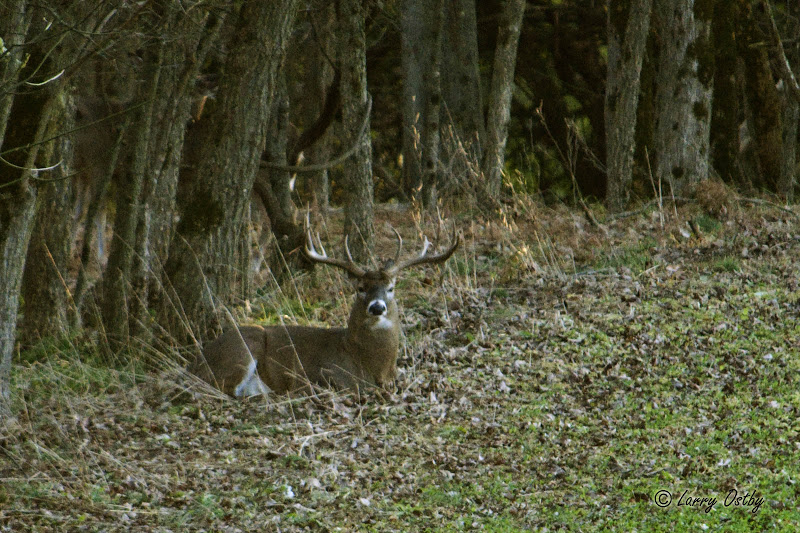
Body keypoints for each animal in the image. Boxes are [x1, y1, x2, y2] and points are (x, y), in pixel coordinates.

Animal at [190, 227, 460, 397]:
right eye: (360, 288)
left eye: (391, 288)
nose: (377, 307)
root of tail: (194, 364)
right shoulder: (327, 374)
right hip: (243, 346)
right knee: (224, 389)